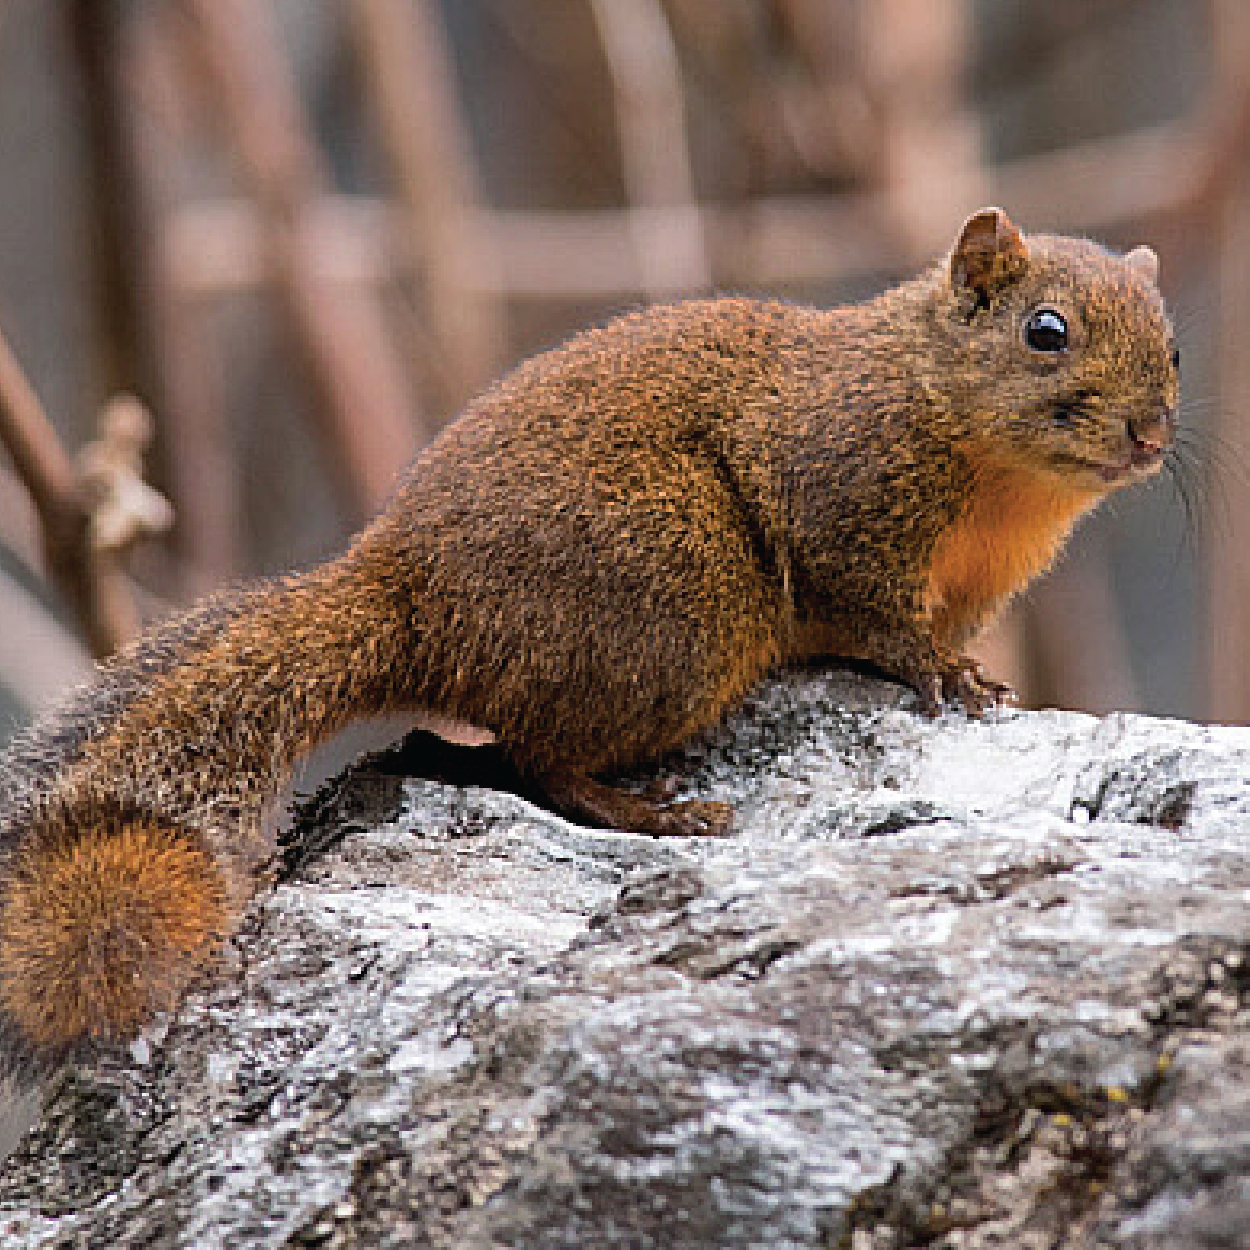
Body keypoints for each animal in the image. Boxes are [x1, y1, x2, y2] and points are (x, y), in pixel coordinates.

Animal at [0, 207, 1177, 1078]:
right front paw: (935, 671)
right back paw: (656, 813)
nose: (1149, 435)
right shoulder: (842, 496)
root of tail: (412, 591)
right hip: (678, 606)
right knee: (537, 757)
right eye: (1044, 331)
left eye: (1172, 344)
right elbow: (873, 614)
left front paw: (979, 673)